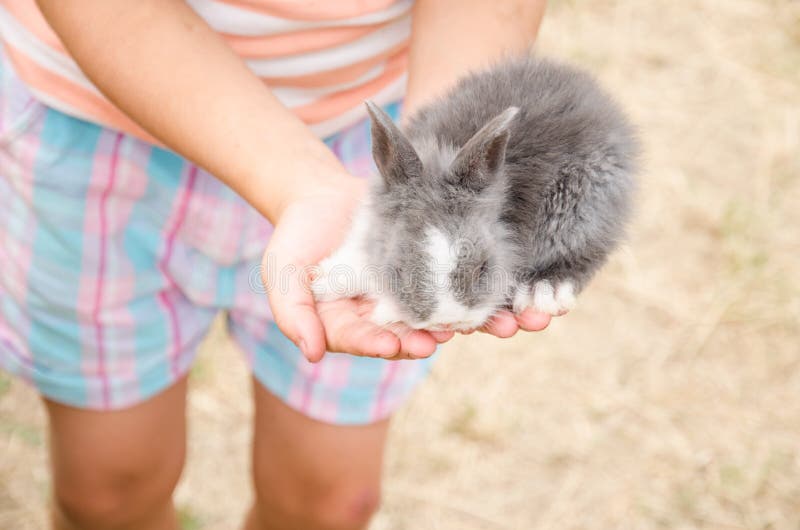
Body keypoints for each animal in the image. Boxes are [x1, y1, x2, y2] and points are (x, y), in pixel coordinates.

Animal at [311, 54, 638, 331]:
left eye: (483, 268)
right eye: (399, 271)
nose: (447, 321)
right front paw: (325, 281)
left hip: (584, 203)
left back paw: (543, 291)